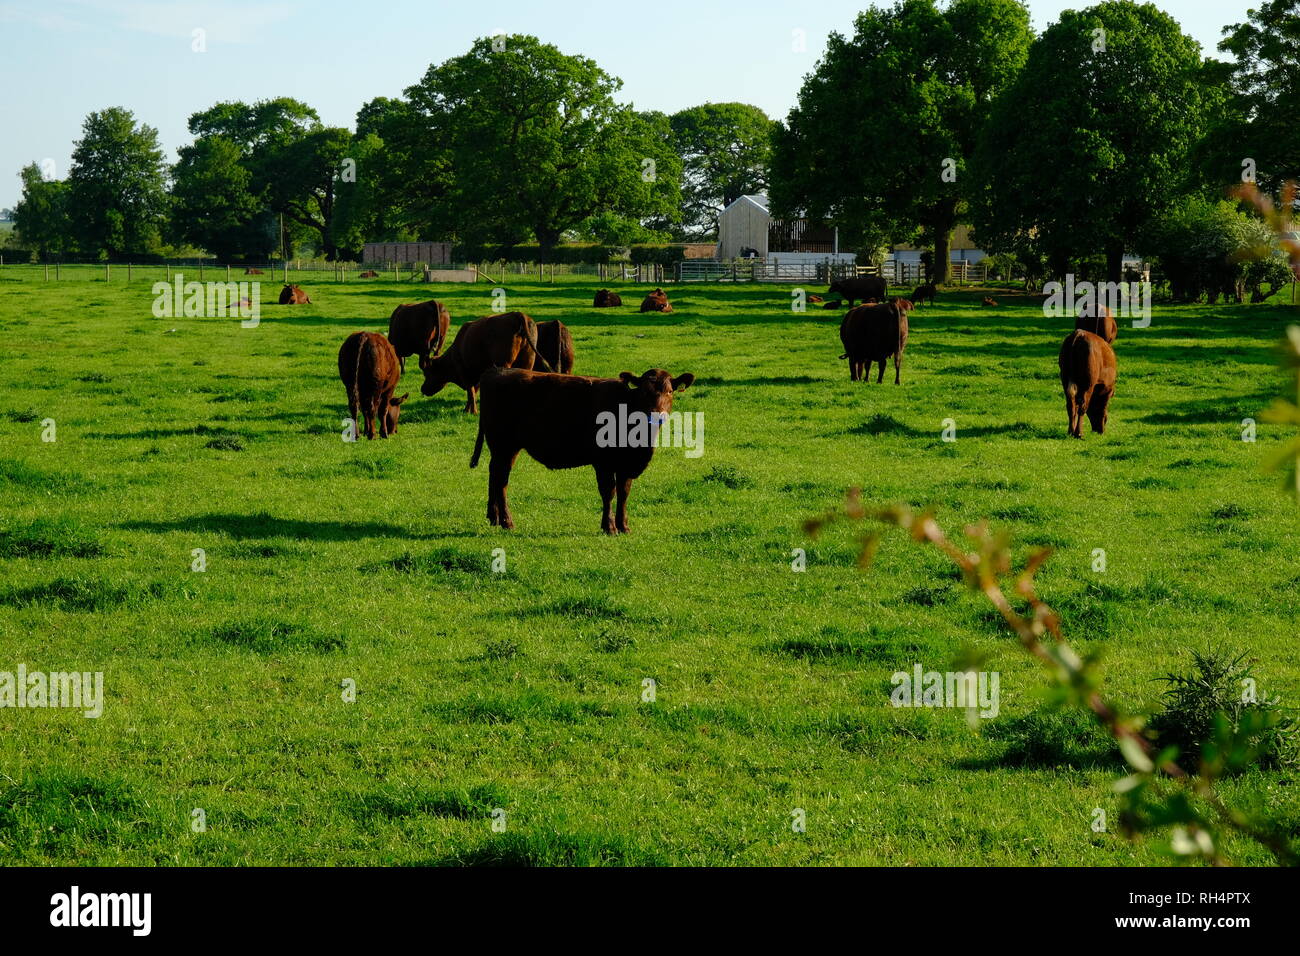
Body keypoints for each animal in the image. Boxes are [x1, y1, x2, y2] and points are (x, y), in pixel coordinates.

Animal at [419, 311, 553, 414]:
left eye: (427, 373)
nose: (423, 389)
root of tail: (516, 314)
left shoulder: (464, 372)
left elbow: (471, 392)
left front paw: (471, 411)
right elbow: (474, 391)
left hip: (503, 364)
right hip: (527, 362)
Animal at [469, 366, 695, 534]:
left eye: (670, 391)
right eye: (644, 392)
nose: (657, 415)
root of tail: (496, 371)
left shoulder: (626, 464)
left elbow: (624, 492)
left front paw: (623, 526)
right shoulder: (603, 462)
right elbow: (609, 491)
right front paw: (609, 527)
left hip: (505, 449)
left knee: (494, 475)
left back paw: (493, 516)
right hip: (504, 445)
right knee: (501, 480)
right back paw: (507, 521)